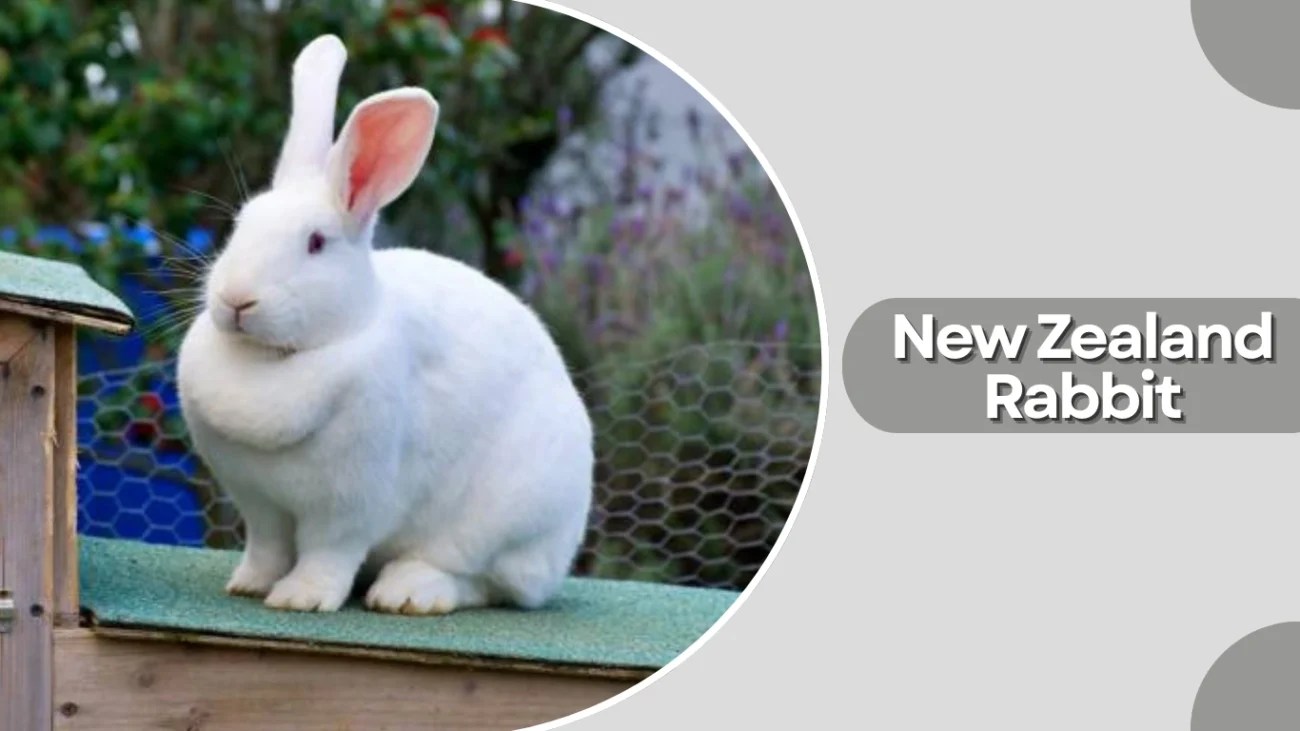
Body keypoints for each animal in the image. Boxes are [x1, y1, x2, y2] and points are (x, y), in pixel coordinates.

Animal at [176, 34, 594, 614]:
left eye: (316, 243)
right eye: (240, 225)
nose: (237, 299)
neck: (275, 360)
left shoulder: (348, 506)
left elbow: (327, 553)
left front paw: (300, 599)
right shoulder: (260, 506)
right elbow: (267, 548)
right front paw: (250, 585)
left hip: (505, 523)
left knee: (483, 582)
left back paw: (407, 593)